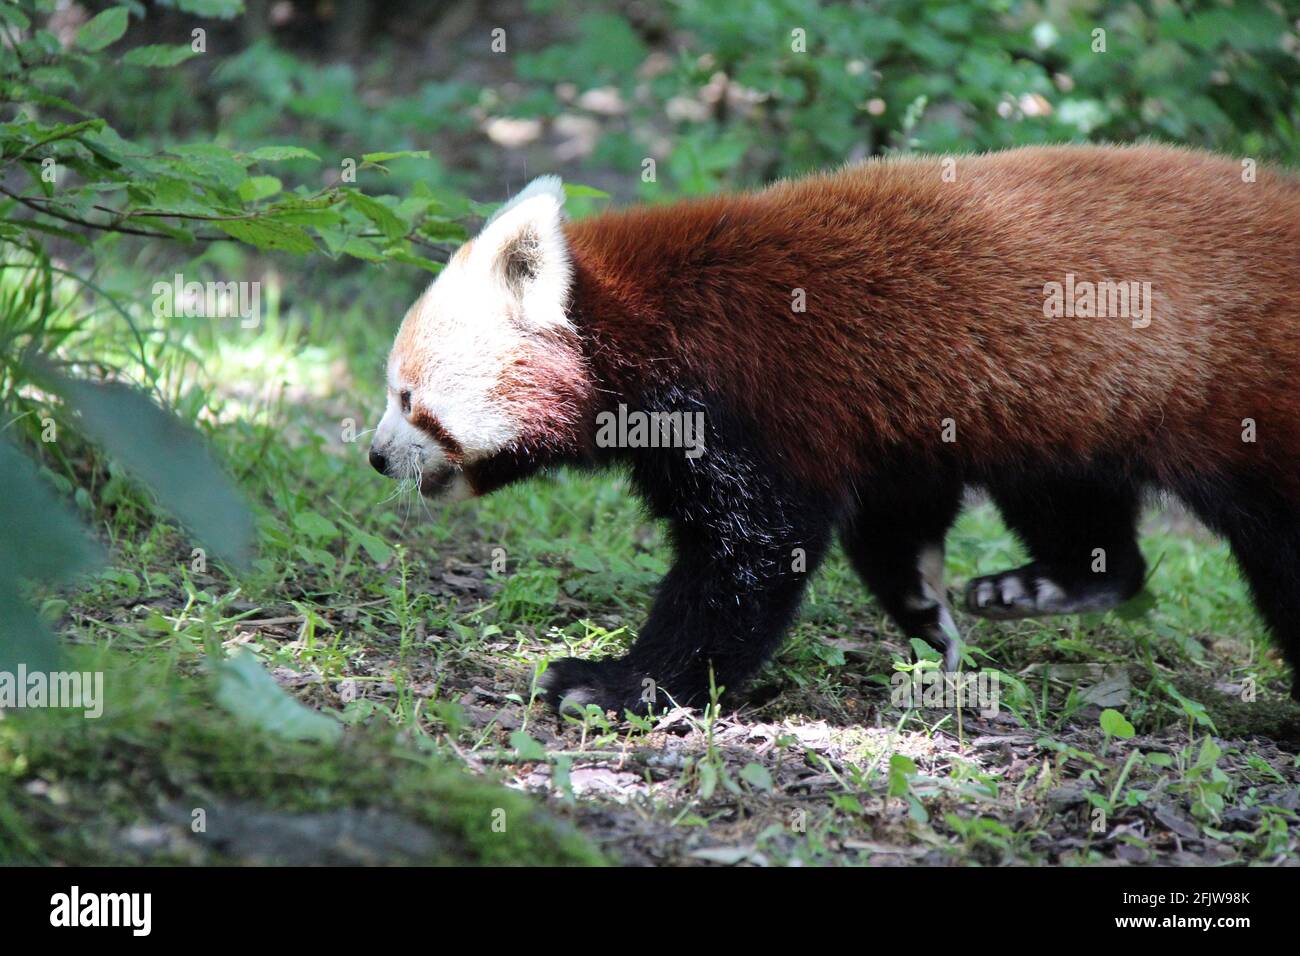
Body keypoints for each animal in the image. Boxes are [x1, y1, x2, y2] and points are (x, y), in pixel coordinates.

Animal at [368, 144, 1300, 714]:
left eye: (411, 399)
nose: (375, 458)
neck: (638, 320)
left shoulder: (748, 406)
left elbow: (746, 564)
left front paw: (619, 683)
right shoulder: (893, 427)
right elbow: (893, 522)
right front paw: (925, 614)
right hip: (1071, 404)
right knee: (1077, 505)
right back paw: (1052, 584)